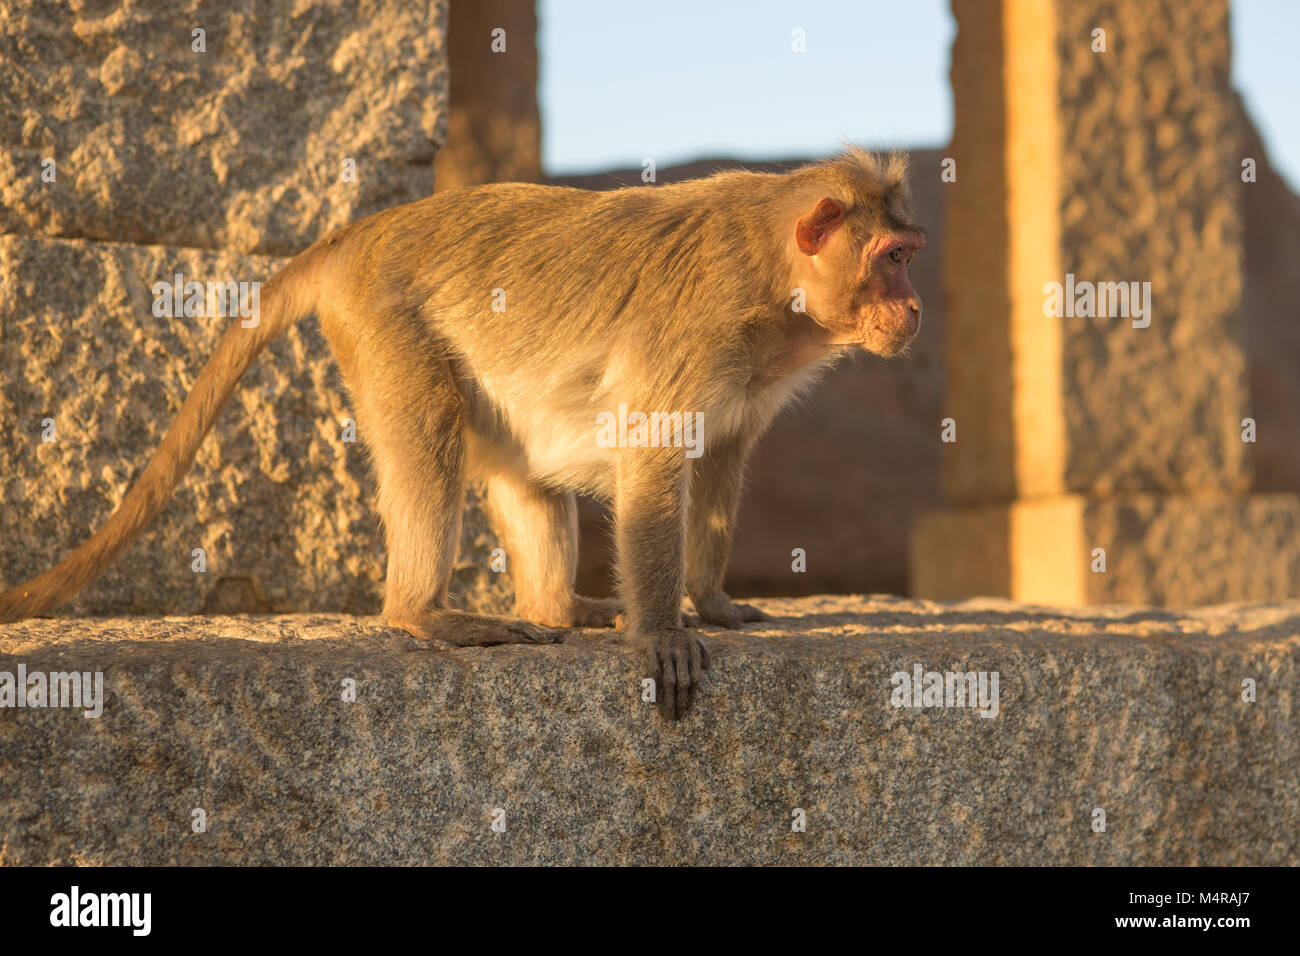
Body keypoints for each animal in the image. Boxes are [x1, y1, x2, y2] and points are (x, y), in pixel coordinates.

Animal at [0, 148, 924, 720]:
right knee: (430, 437)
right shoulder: (700, 330)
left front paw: (713, 601)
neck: (774, 279)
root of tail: (359, 233)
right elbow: (655, 458)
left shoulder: (752, 373)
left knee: (524, 467)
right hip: (382, 325)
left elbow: (723, 461)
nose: (914, 307)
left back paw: (557, 607)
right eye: (891, 258)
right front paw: (662, 632)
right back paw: (425, 615)